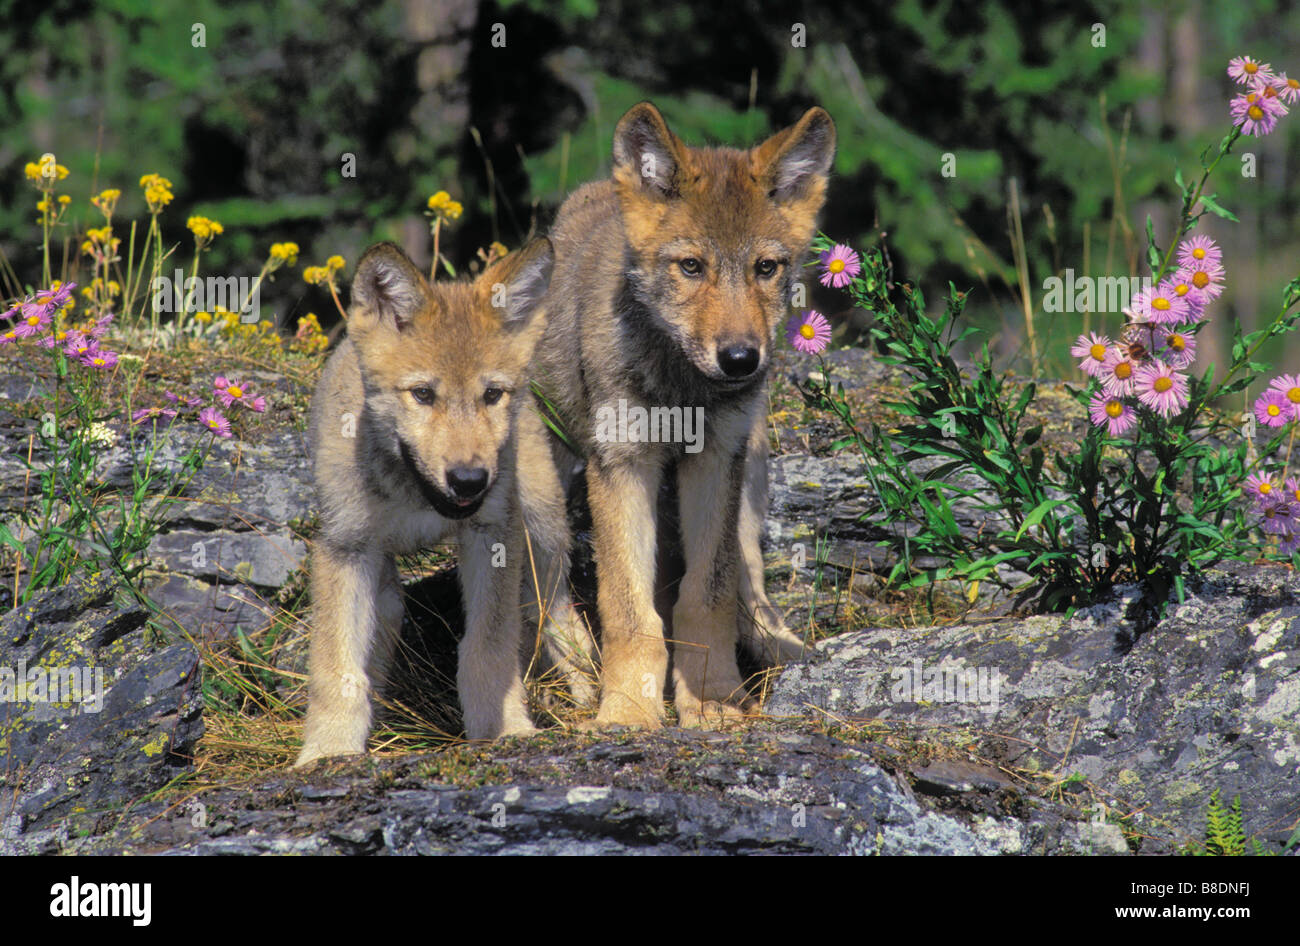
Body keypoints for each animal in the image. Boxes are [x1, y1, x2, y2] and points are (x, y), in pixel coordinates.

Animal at [295, 238, 594, 768]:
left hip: (541, 535)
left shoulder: (492, 535)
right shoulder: (344, 548)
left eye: (492, 394)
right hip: (386, 584)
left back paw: (589, 699)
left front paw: (504, 729)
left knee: (559, 616)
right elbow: (337, 667)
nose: (470, 480)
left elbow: (487, 650)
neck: (417, 499)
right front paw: (327, 751)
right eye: (422, 394)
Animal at [531, 102, 835, 728]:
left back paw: (781, 649)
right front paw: (627, 711)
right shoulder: (621, 466)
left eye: (766, 268)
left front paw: (714, 700)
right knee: (547, 591)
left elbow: (707, 595)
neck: (682, 393)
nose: (741, 358)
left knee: (748, 578)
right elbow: (629, 610)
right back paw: (580, 678)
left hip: (752, 471)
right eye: (691, 267)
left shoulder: (716, 460)